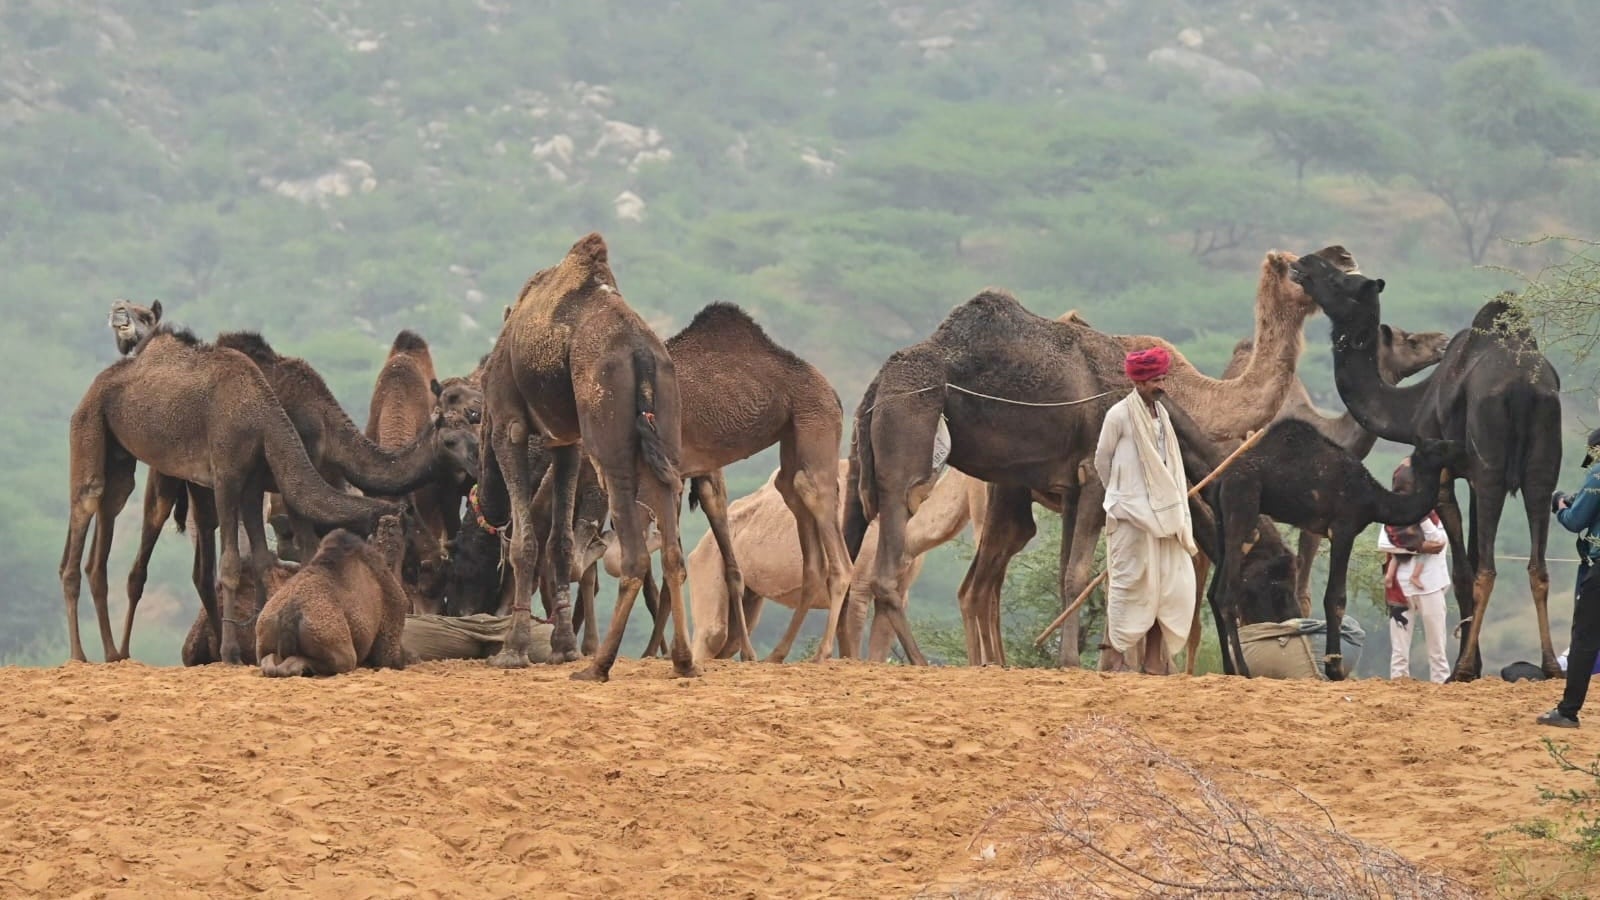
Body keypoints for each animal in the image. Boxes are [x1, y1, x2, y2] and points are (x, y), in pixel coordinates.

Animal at [61, 325, 398, 664]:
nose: (391, 586)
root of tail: (97, 383)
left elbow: (261, 557)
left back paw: (113, 653)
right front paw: (230, 653)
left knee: (109, 518)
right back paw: (79, 654)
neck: (263, 413)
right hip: (89, 422)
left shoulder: (251, 480)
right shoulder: (226, 474)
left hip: (119, 453)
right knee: (87, 505)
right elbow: (231, 565)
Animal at [480, 231, 692, 680]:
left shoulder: (510, 424)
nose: (489, 508)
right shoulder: (566, 441)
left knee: (633, 555)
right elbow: (560, 543)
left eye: (474, 416)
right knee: (671, 548)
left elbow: (525, 543)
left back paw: (598, 665)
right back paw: (683, 661)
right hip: (666, 428)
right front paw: (562, 648)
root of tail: (640, 353)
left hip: (607, 434)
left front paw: (512, 651)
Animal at [848, 248, 1350, 669]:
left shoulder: (1075, 486)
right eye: (1273, 578)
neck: (1202, 400)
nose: (1343, 258)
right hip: (915, 436)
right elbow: (1091, 576)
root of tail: (879, 380)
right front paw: (1092, 662)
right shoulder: (1100, 475)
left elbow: (1078, 574)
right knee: (901, 564)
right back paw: (927, 661)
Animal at [1207, 419, 1466, 678]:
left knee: (1213, 592)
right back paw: (1244, 671)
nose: (1459, 446)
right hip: (1242, 507)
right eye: (1439, 447)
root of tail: (1220, 481)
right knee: (1227, 594)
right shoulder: (1344, 528)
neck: (1373, 499)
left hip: (1221, 522)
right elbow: (1336, 597)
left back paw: (1229, 669)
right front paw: (1335, 668)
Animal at [1290, 253, 1564, 679]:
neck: (1414, 405)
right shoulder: (1471, 475)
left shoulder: (1444, 472)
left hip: (1492, 462)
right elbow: (1471, 556)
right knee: (1538, 565)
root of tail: (1523, 386)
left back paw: (1463, 667)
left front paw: (1471, 665)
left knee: (1488, 568)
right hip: (1542, 463)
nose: (1304, 262)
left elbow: (1464, 569)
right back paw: (1550, 665)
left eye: (1339, 281)